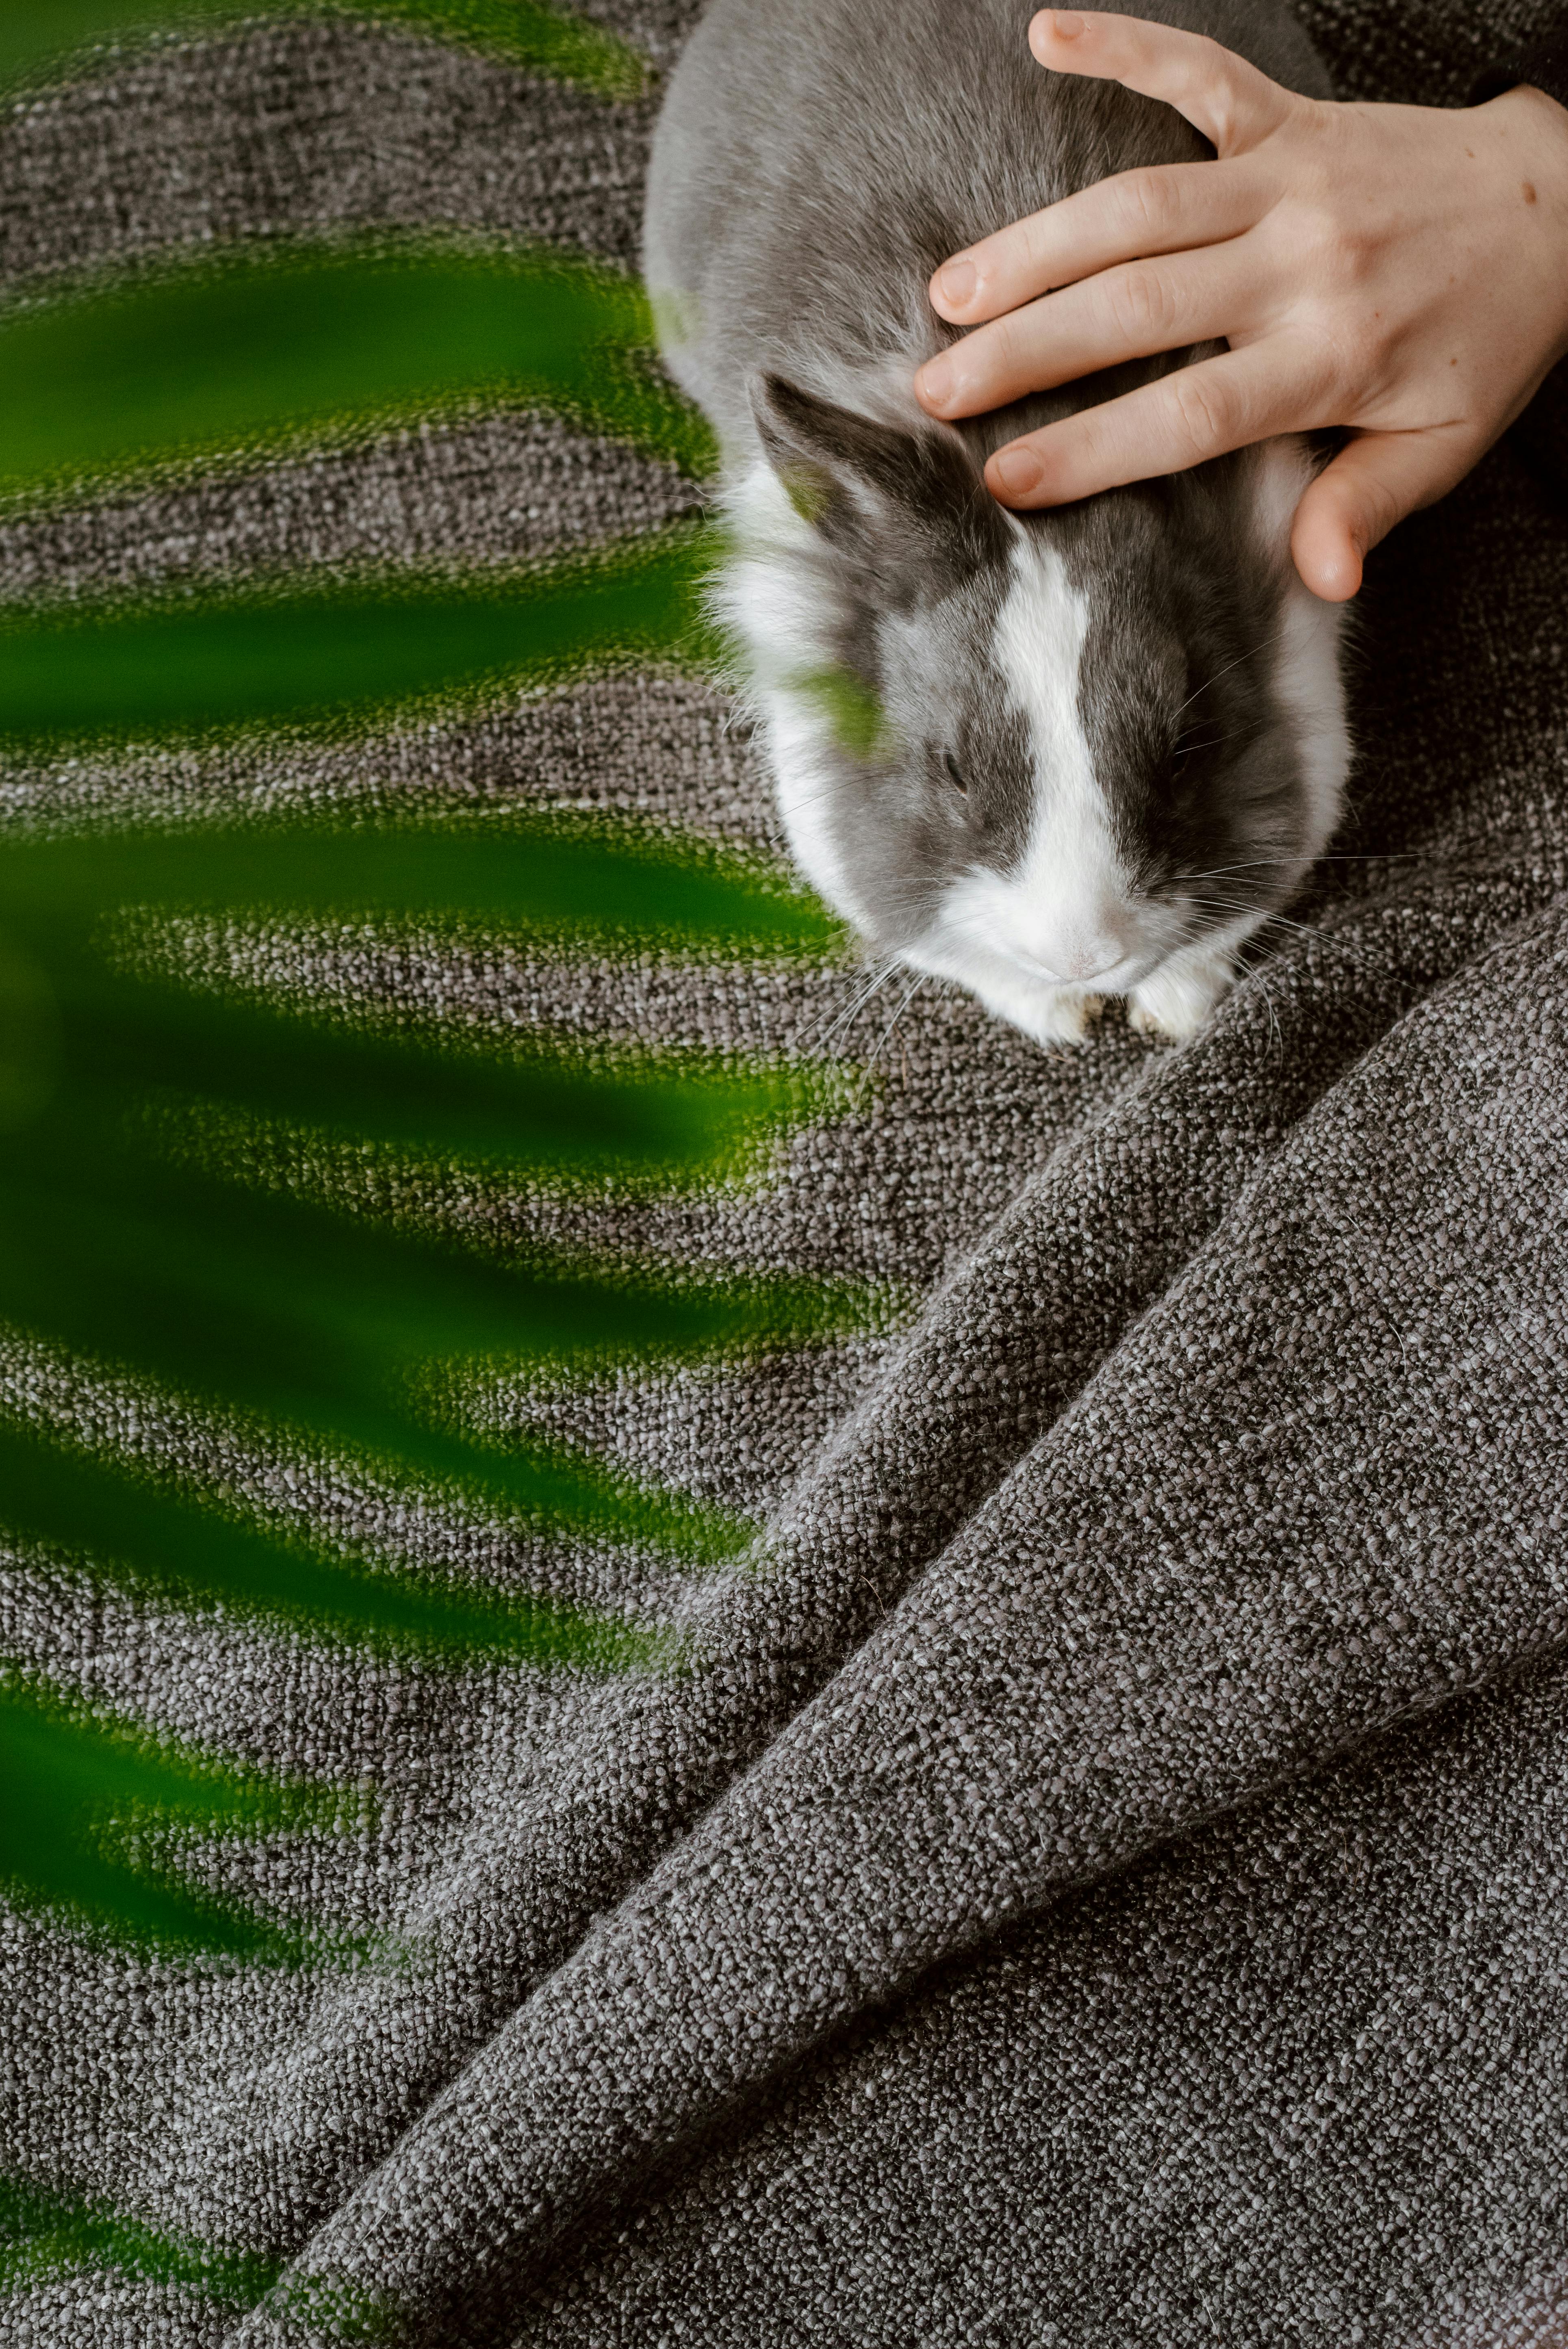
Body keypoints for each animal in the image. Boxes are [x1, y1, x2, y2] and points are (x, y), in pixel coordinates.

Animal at [643, 0, 1351, 1044]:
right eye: (948, 765)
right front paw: (1062, 1015)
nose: (1085, 955)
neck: (1026, 435)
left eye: (1191, 744)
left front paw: (1167, 1008)